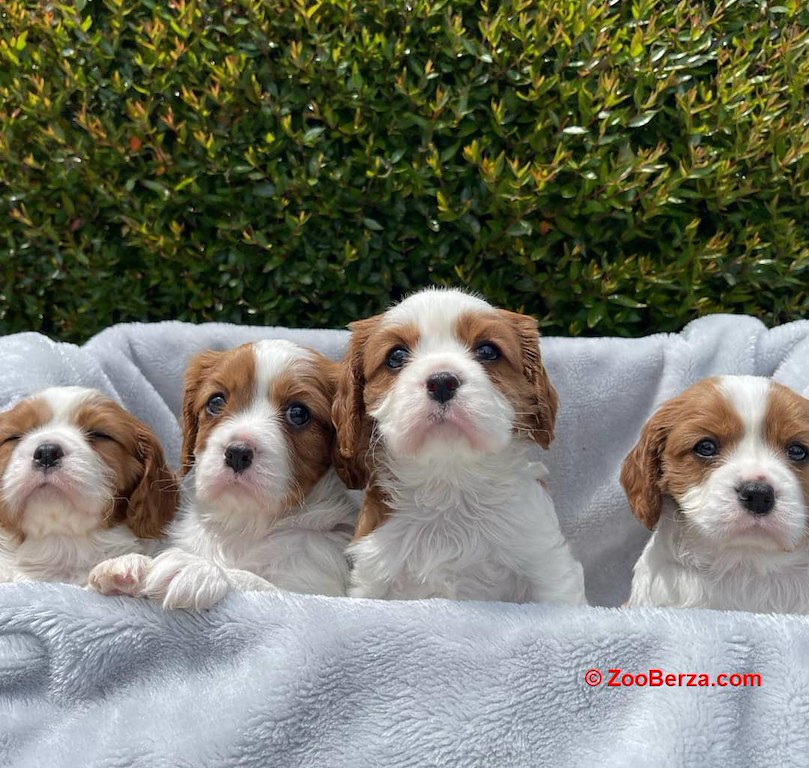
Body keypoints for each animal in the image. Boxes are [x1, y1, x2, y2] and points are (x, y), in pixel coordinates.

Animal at [90, 340, 356, 608]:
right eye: (216, 401)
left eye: (298, 413)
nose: (237, 453)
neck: (243, 525)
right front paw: (132, 563)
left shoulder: (314, 591)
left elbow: (262, 584)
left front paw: (195, 568)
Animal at [332, 288, 584, 608]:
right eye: (396, 356)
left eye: (488, 351)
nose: (442, 381)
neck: (449, 487)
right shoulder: (372, 580)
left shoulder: (548, 569)